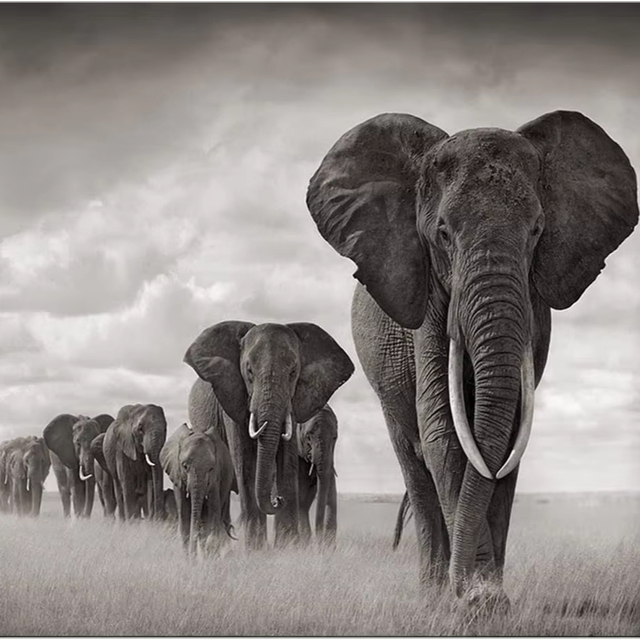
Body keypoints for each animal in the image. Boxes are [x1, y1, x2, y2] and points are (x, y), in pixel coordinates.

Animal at [160, 423, 238, 554]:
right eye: (184, 466)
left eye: (211, 468)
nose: (193, 556)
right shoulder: (177, 475)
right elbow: (184, 516)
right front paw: (189, 558)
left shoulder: (215, 478)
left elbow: (211, 515)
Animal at [306, 110, 638, 604]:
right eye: (443, 233)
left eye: (537, 231)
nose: (466, 588)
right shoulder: (425, 298)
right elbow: (444, 430)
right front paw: (476, 602)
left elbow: (508, 436)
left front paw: (488, 598)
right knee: (414, 465)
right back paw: (432, 592)